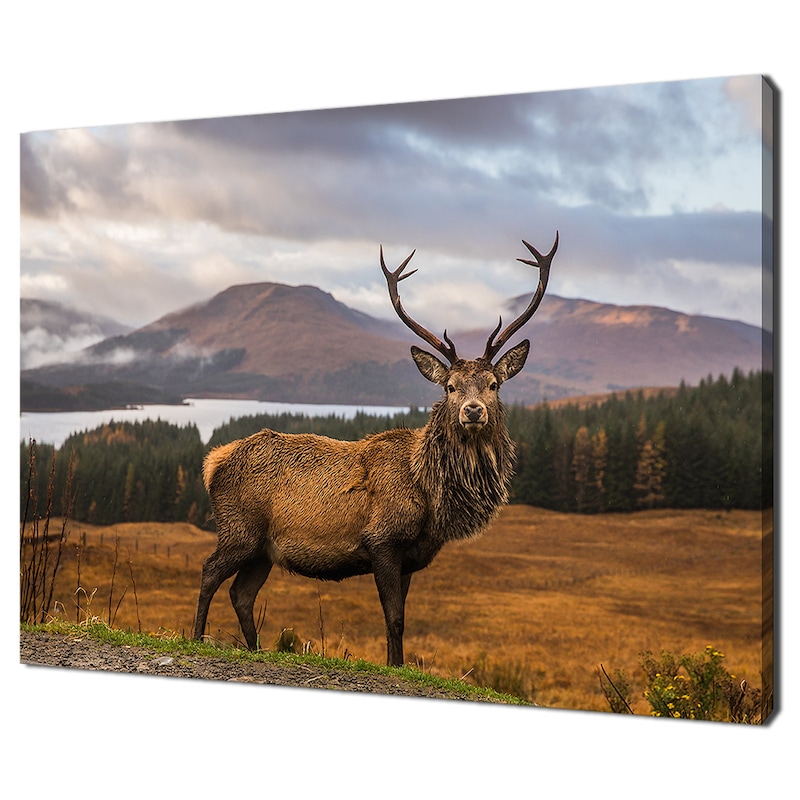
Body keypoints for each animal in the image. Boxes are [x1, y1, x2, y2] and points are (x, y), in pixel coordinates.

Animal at [193, 233, 558, 666]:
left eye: (494, 384)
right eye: (450, 386)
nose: (473, 410)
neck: (430, 496)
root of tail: (213, 462)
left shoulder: (412, 557)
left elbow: (400, 618)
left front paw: (396, 662)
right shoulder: (382, 540)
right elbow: (394, 618)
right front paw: (395, 664)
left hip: (264, 549)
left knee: (241, 593)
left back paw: (255, 649)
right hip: (239, 529)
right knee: (209, 572)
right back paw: (194, 637)